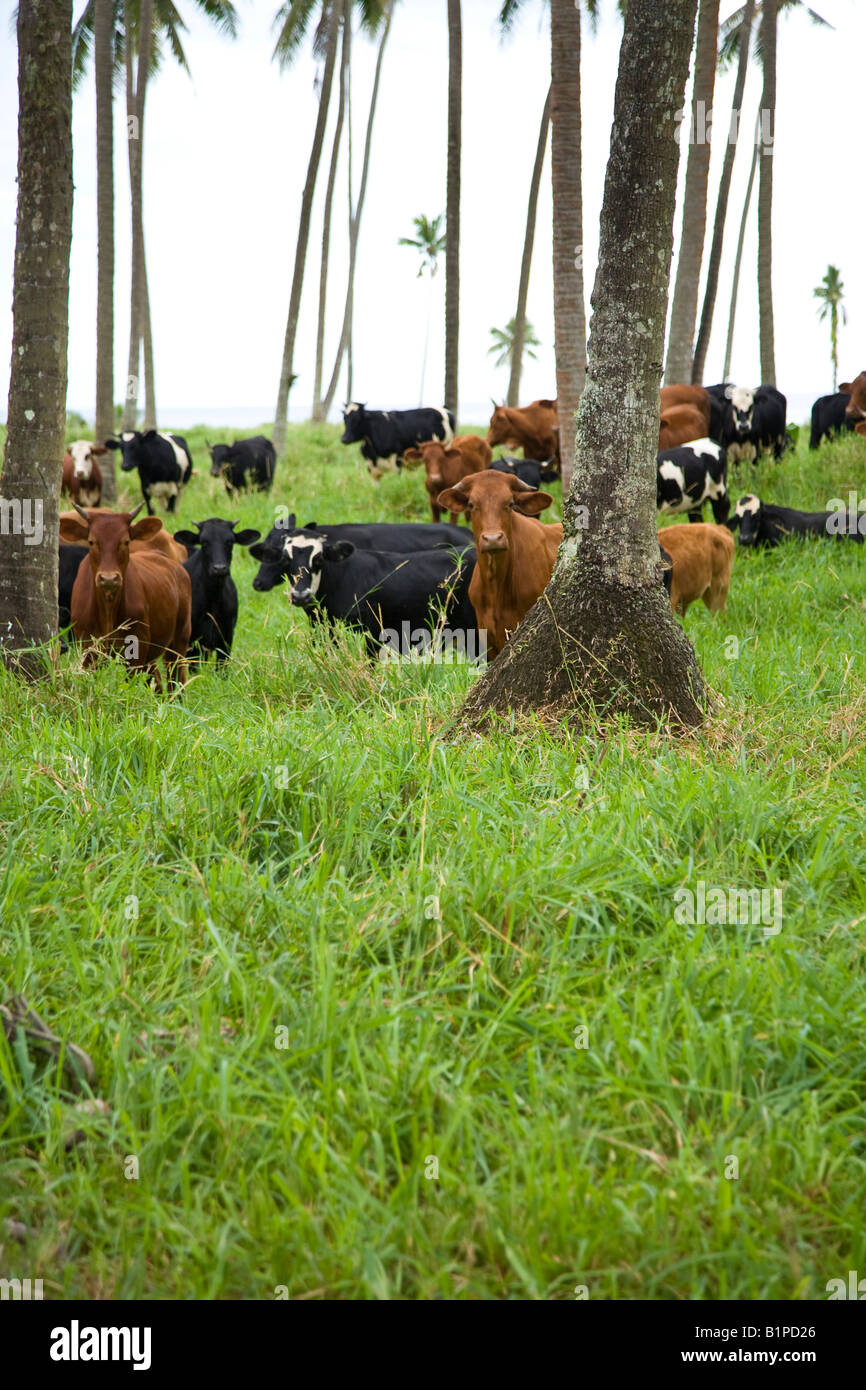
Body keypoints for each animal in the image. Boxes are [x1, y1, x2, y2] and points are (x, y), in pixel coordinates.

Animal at [58, 503, 191, 686]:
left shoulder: (136, 652)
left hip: (179, 642)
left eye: (126, 541)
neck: (108, 609)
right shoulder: (88, 650)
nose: (108, 578)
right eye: (91, 541)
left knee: (176, 682)